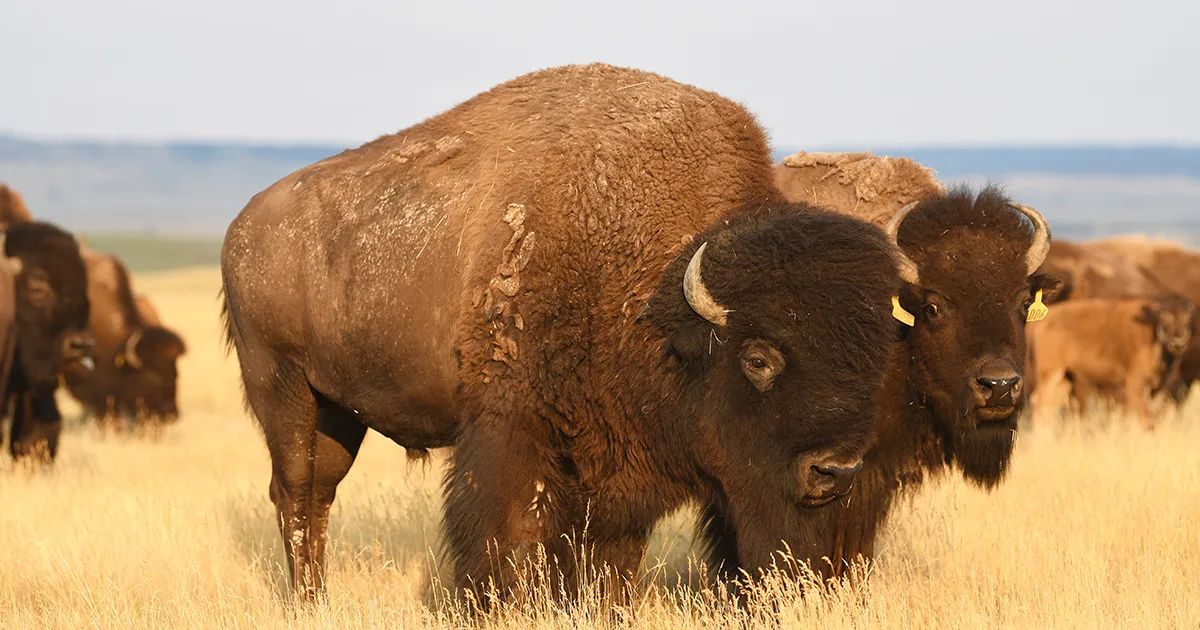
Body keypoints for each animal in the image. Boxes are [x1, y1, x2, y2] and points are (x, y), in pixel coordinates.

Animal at [221, 64, 902, 599]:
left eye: (874, 362)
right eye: (759, 358)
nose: (834, 471)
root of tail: (242, 227)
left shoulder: (613, 464)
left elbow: (608, 557)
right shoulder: (509, 435)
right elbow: (504, 538)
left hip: (340, 412)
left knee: (320, 494)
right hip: (285, 391)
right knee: (297, 493)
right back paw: (307, 600)